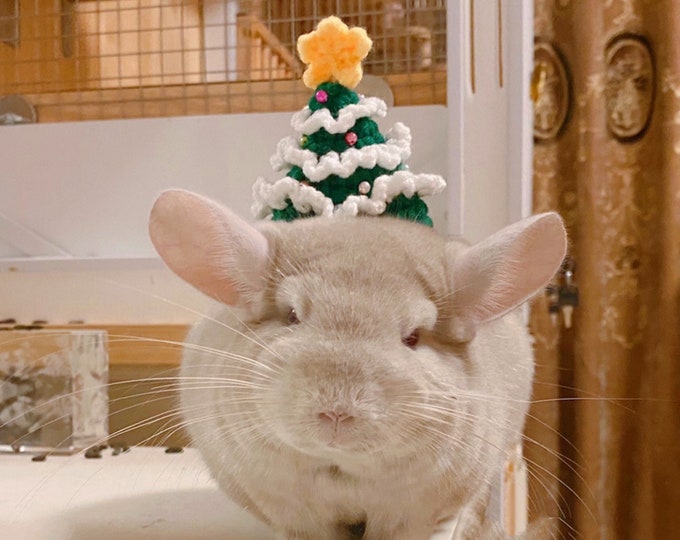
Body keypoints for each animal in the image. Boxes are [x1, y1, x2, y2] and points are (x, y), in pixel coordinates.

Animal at [148, 189, 567, 540]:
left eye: (413, 337)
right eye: (293, 316)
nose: (336, 411)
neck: (340, 465)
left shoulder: (410, 516)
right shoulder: (296, 514)